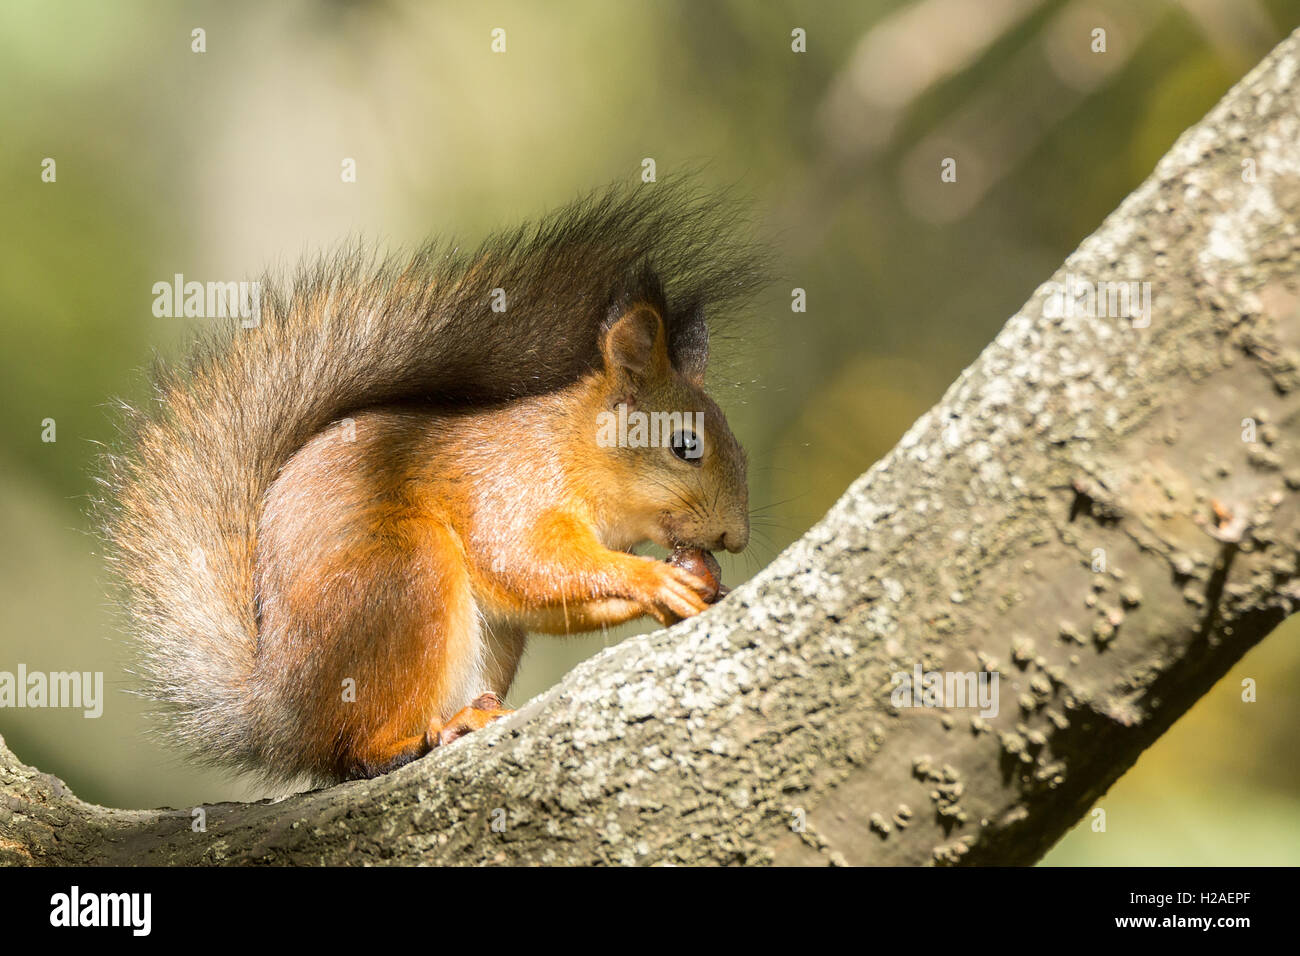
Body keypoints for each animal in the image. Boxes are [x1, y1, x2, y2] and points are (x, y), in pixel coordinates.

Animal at [100, 181, 765, 785]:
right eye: (685, 445)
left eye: (740, 446)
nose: (734, 537)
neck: (576, 451)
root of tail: (281, 711)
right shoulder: (512, 489)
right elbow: (525, 560)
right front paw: (655, 579)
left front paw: (696, 586)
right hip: (403, 578)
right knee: (354, 752)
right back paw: (429, 734)